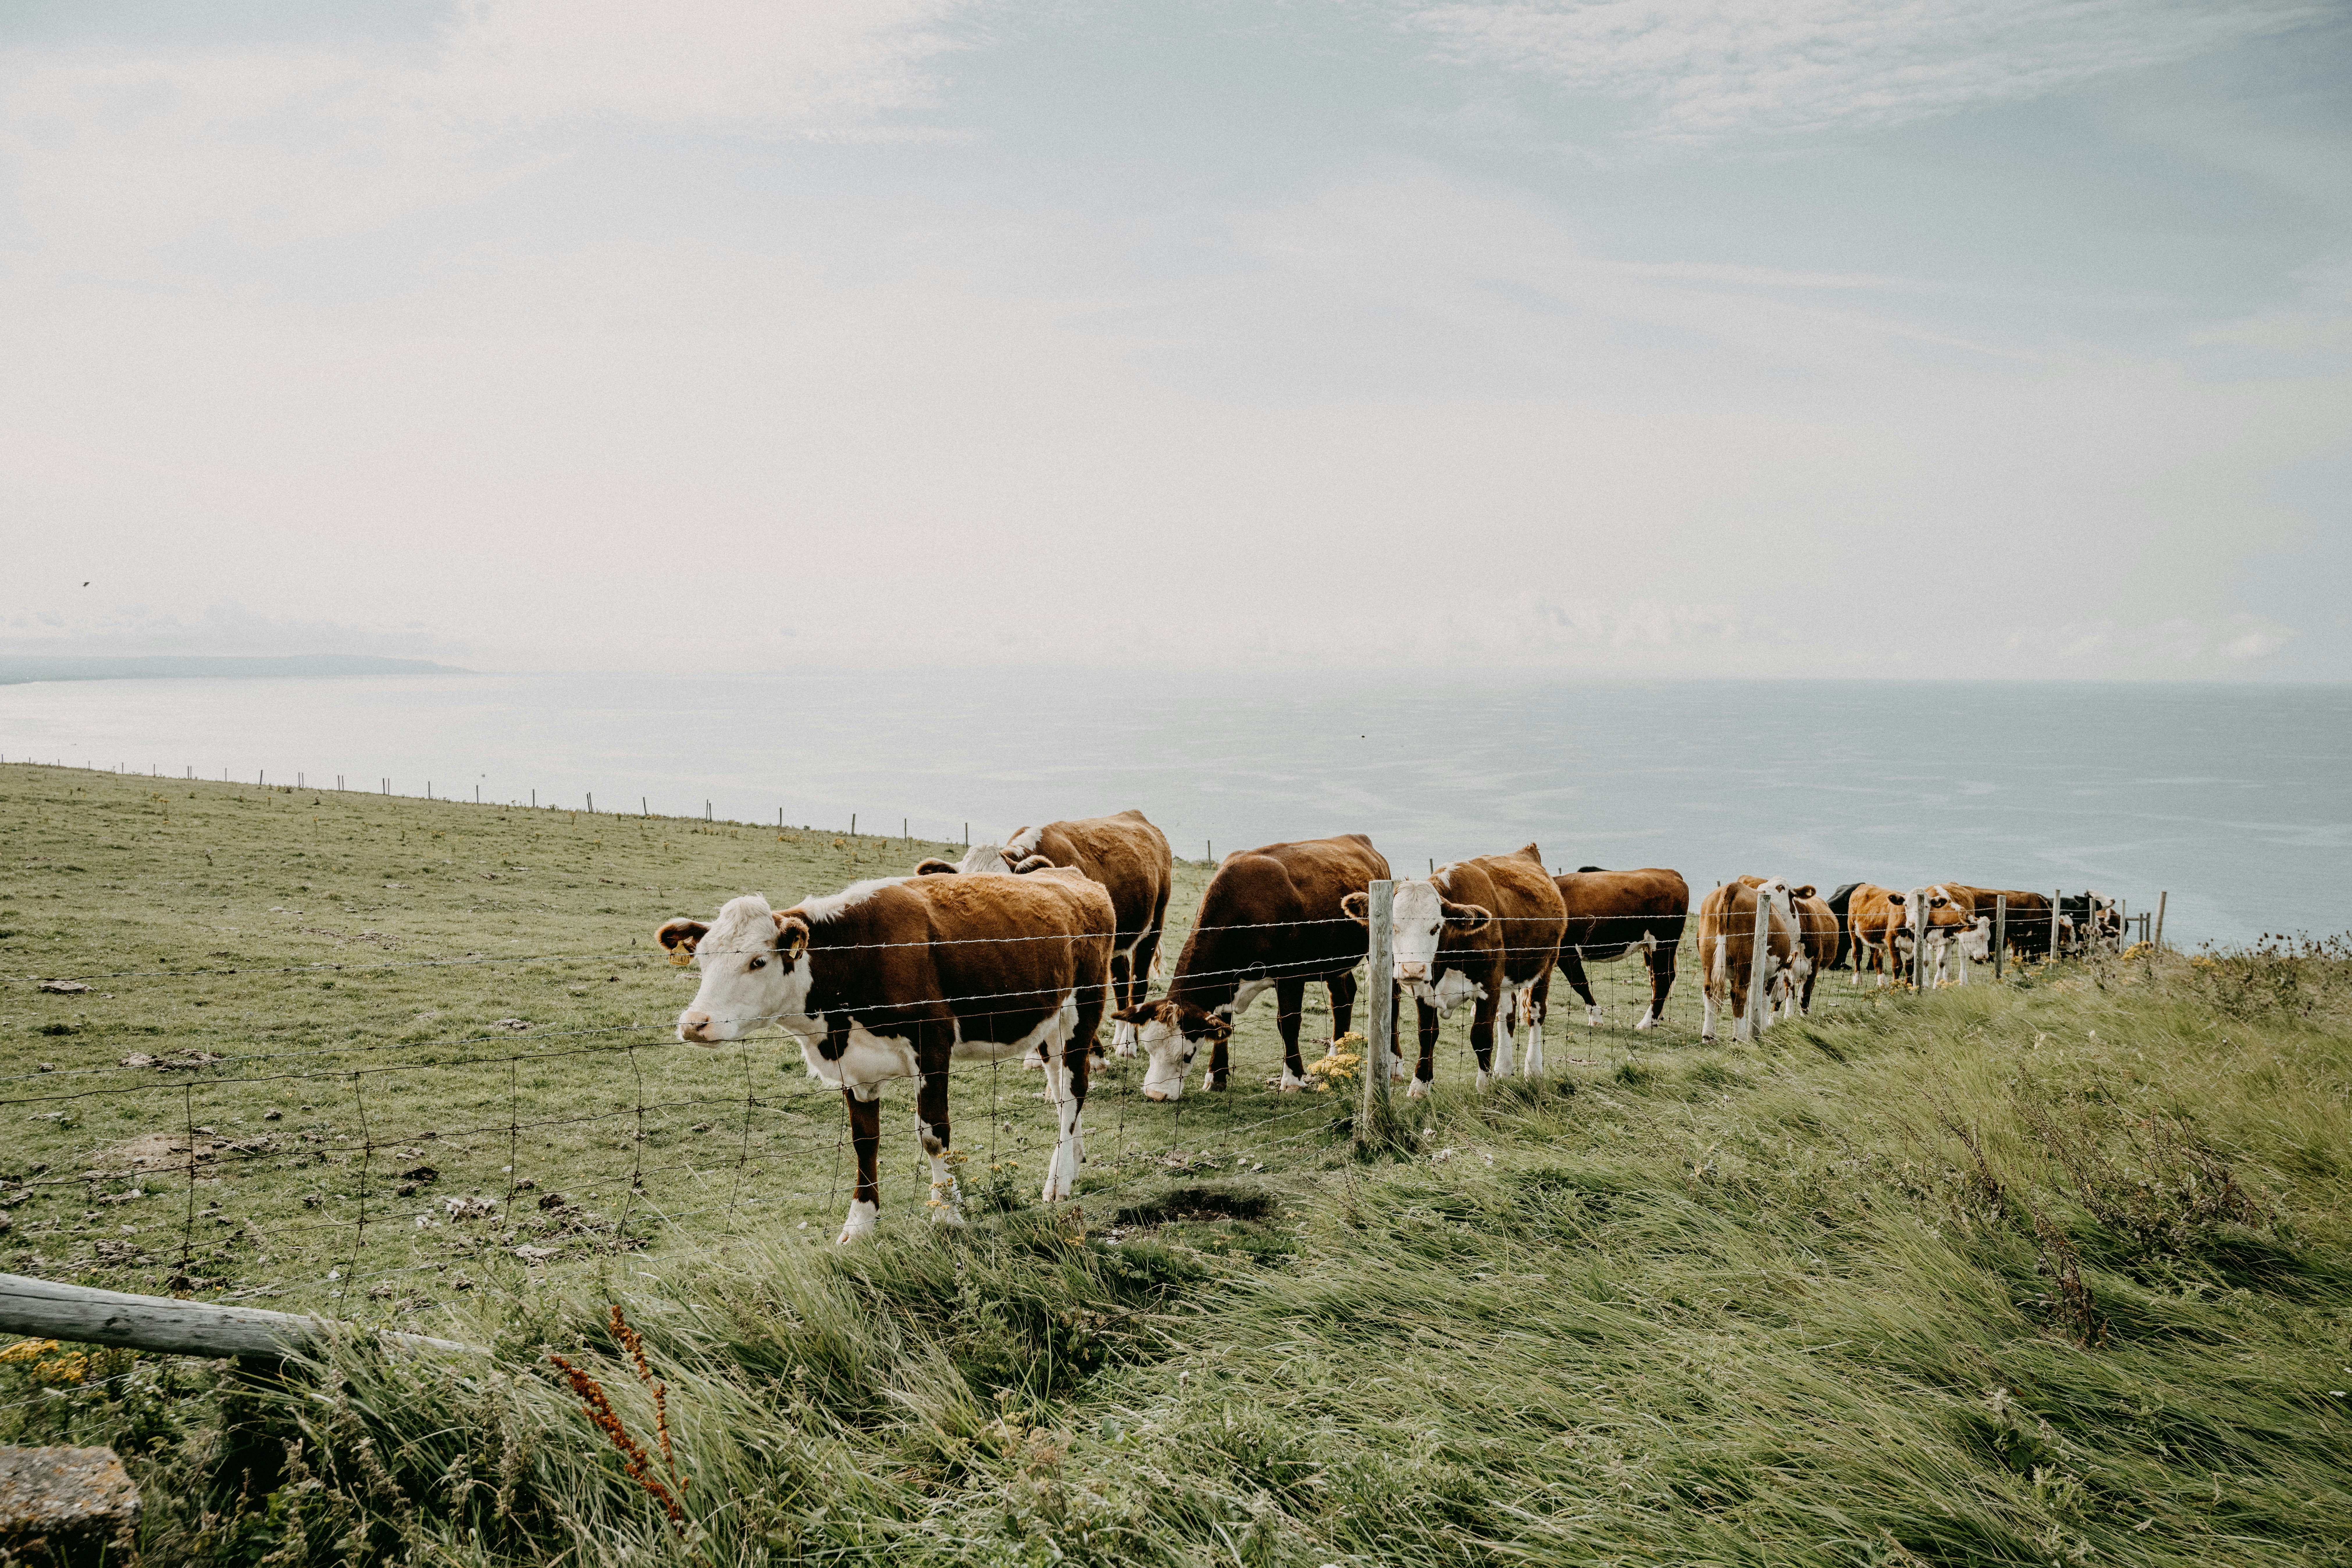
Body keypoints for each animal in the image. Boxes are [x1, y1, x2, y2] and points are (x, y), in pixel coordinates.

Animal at [657, 869, 1114, 1242]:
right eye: (701, 959)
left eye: (757, 961)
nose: (694, 1023)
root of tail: (1073, 877)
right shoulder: (856, 1069)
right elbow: (864, 1143)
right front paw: (859, 1225)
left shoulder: (931, 1047)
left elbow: (933, 1136)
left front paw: (948, 1216)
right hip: (1048, 1025)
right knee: (1060, 1094)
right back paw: (1071, 1160)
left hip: (1083, 1011)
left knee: (1074, 1090)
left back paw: (1059, 1182)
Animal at [1117, 834, 1389, 1101]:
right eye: (1150, 1048)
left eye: (1187, 1055)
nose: (1156, 1095)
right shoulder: (1226, 982)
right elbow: (1224, 1026)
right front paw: (1217, 1077)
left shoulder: (1291, 976)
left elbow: (1288, 1024)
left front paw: (1293, 1080)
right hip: (1334, 961)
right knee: (1342, 998)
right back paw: (1335, 1058)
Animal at [1345, 844, 1566, 1096]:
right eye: (1392, 927)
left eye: (1436, 927)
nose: (1413, 969)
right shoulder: (1425, 991)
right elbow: (1427, 1035)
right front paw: (1420, 1086)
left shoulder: (1489, 986)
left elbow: (1481, 1037)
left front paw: (1484, 1087)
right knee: (1507, 1016)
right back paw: (1503, 1071)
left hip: (1546, 966)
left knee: (1536, 1015)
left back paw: (1534, 1072)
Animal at [1548, 867, 1689, 1029]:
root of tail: (1670, 873)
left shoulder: (1567, 952)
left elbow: (1579, 983)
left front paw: (1596, 1018)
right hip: (1649, 947)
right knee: (1655, 977)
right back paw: (1657, 1017)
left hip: (1663, 942)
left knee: (1663, 978)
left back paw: (1647, 1022)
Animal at [1697, 878, 1794, 1041]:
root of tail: (1734, 887)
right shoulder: (1772, 974)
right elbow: (1763, 1002)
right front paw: (1762, 1029)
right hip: (1744, 962)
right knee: (1739, 994)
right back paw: (1740, 1037)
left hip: (1709, 957)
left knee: (1709, 991)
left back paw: (1708, 1036)